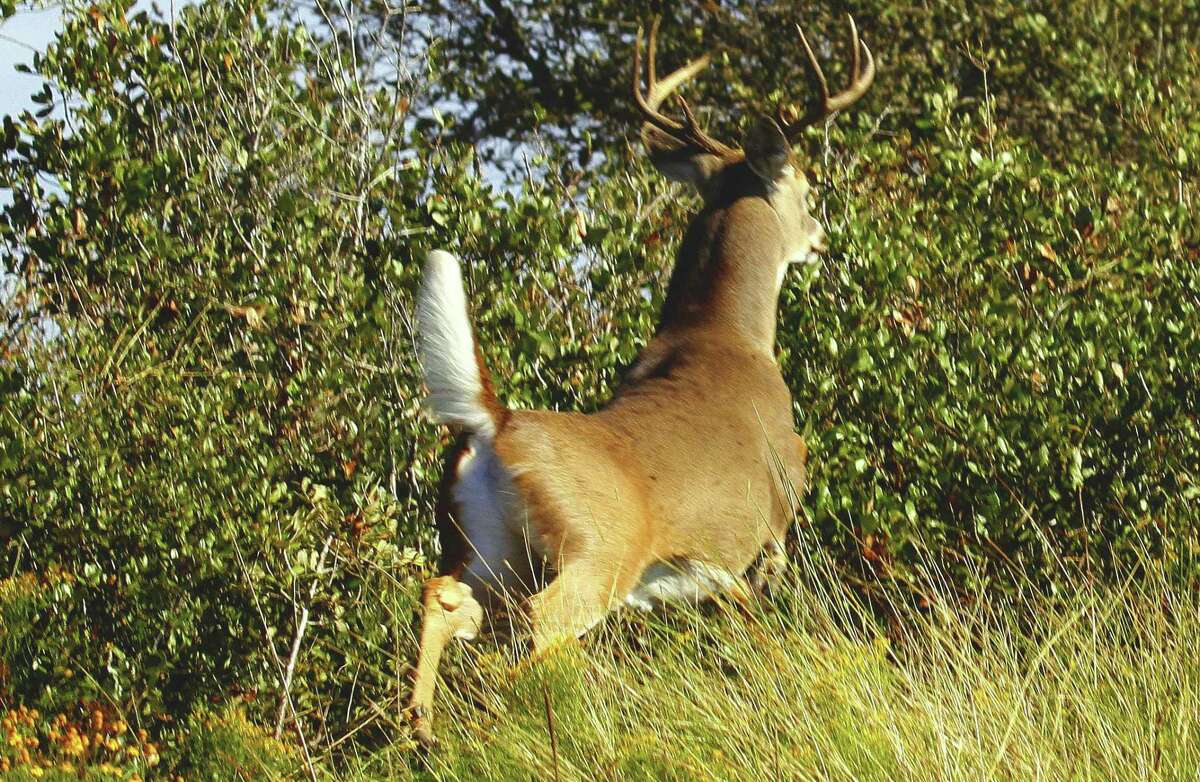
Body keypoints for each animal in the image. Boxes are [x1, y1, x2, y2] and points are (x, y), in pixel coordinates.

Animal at [408, 15, 875, 744]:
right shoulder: (771, 529)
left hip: (487, 546)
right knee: (536, 632)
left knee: (444, 597)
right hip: (596, 550)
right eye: (807, 188)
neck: (724, 335)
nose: (822, 236)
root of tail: (496, 422)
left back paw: (424, 731)